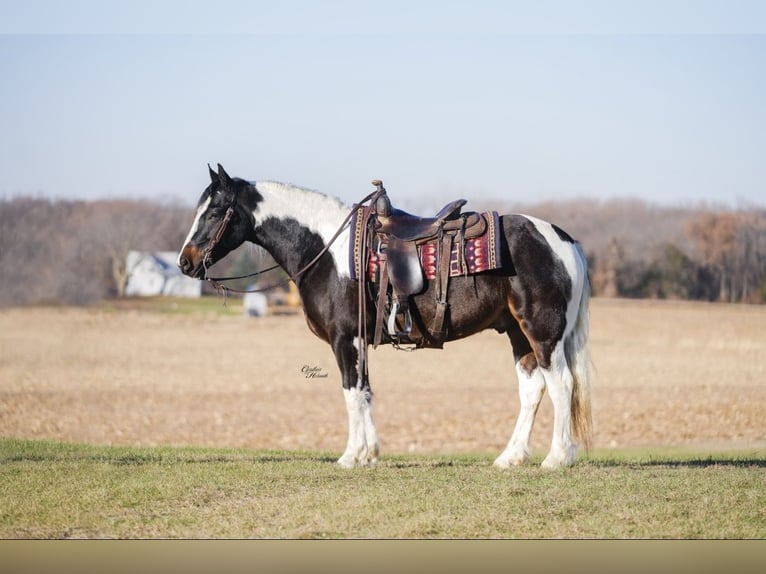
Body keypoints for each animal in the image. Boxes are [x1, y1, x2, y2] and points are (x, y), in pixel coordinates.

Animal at [177, 164, 592, 469]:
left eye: (214, 211)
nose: (186, 262)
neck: (325, 249)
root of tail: (564, 239)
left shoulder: (345, 339)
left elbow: (351, 392)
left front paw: (351, 456)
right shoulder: (358, 340)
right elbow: (365, 391)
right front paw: (369, 453)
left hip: (543, 333)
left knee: (562, 385)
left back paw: (556, 458)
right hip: (518, 334)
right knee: (533, 389)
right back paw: (510, 458)